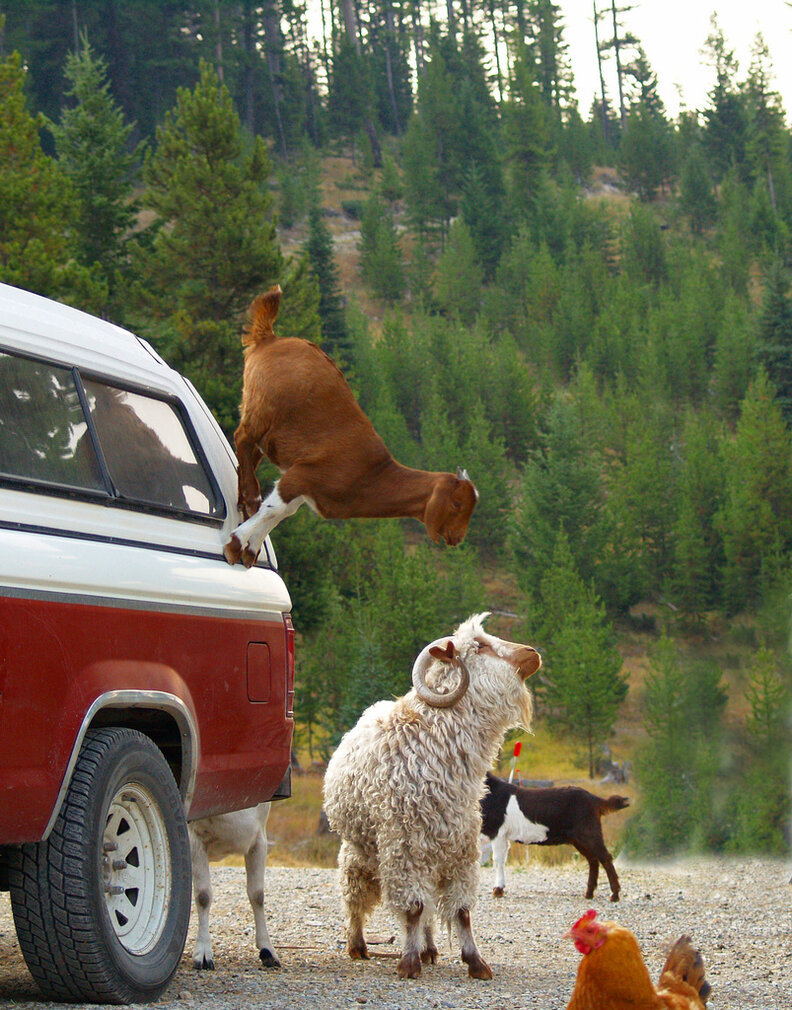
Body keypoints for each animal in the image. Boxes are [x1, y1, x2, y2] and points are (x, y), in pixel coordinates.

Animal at [188, 803, 280, 970]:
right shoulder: (195, 842)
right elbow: (203, 896)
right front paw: (203, 955)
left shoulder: (259, 842)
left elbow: (257, 896)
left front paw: (268, 952)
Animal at [224, 286, 478, 566]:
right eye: (457, 504)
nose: (457, 538)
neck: (370, 474)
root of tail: (270, 338)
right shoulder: (304, 474)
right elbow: (275, 509)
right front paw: (235, 545)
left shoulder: (306, 487)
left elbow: (282, 513)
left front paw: (251, 550)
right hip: (263, 407)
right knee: (242, 437)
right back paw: (250, 496)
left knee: (249, 451)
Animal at [323, 613, 542, 980]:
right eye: (480, 645)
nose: (533, 652)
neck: (434, 739)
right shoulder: (404, 848)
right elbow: (413, 908)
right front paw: (408, 963)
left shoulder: (460, 849)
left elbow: (461, 911)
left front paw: (475, 961)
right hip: (361, 851)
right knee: (356, 895)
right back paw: (358, 944)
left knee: (425, 909)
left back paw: (429, 948)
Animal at [480, 772, 629, 902]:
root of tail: (594, 799)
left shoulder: (497, 832)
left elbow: (498, 860)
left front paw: (497, 890)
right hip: (578, 839)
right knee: (593, 860)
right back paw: (589, 894)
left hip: (589, 832)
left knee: (605, 857)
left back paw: (614, 895)